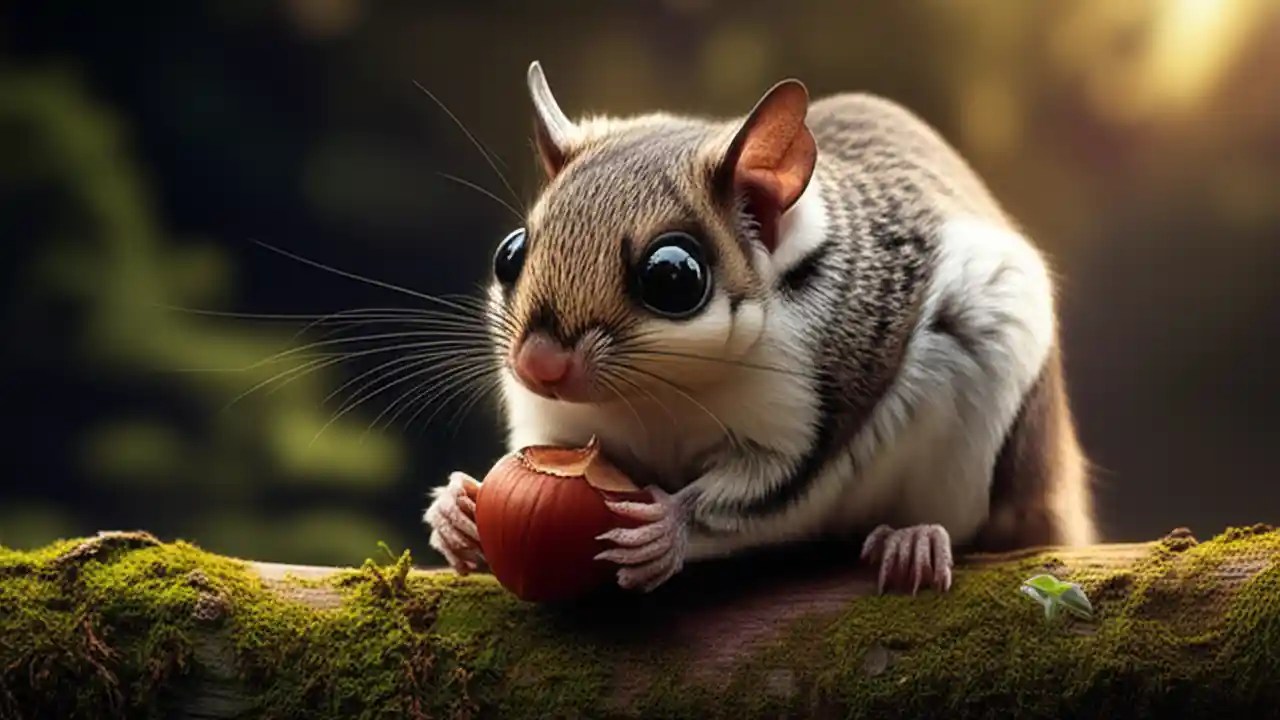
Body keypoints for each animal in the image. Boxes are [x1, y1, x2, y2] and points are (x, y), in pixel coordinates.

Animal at [423, 61, 1097, 595]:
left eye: (674, 275)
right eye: (510, 253)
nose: (538, 365)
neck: (662, 394)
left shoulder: (813, 410)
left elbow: (758, 490)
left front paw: (670, 527)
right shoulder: (557, 425)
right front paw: (457, 508)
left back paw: (916, 539)